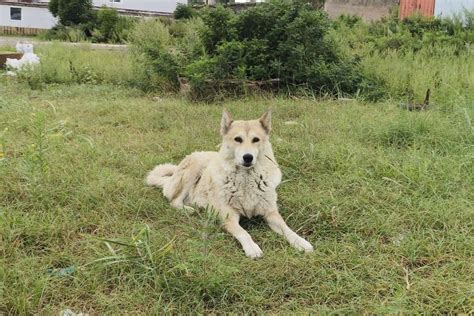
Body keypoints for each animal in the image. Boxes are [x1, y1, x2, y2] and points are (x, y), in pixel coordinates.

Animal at [146, 110, 312, 258]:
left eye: (256, 140)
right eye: (238, 139)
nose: (248, 157)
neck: (246, 179)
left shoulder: (271, 213)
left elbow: (286, 228)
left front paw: (300, 242)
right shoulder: (229, 217)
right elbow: (243, 232)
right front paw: (252, 248)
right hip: (194, 169)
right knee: (174, 201)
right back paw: (189, 210)